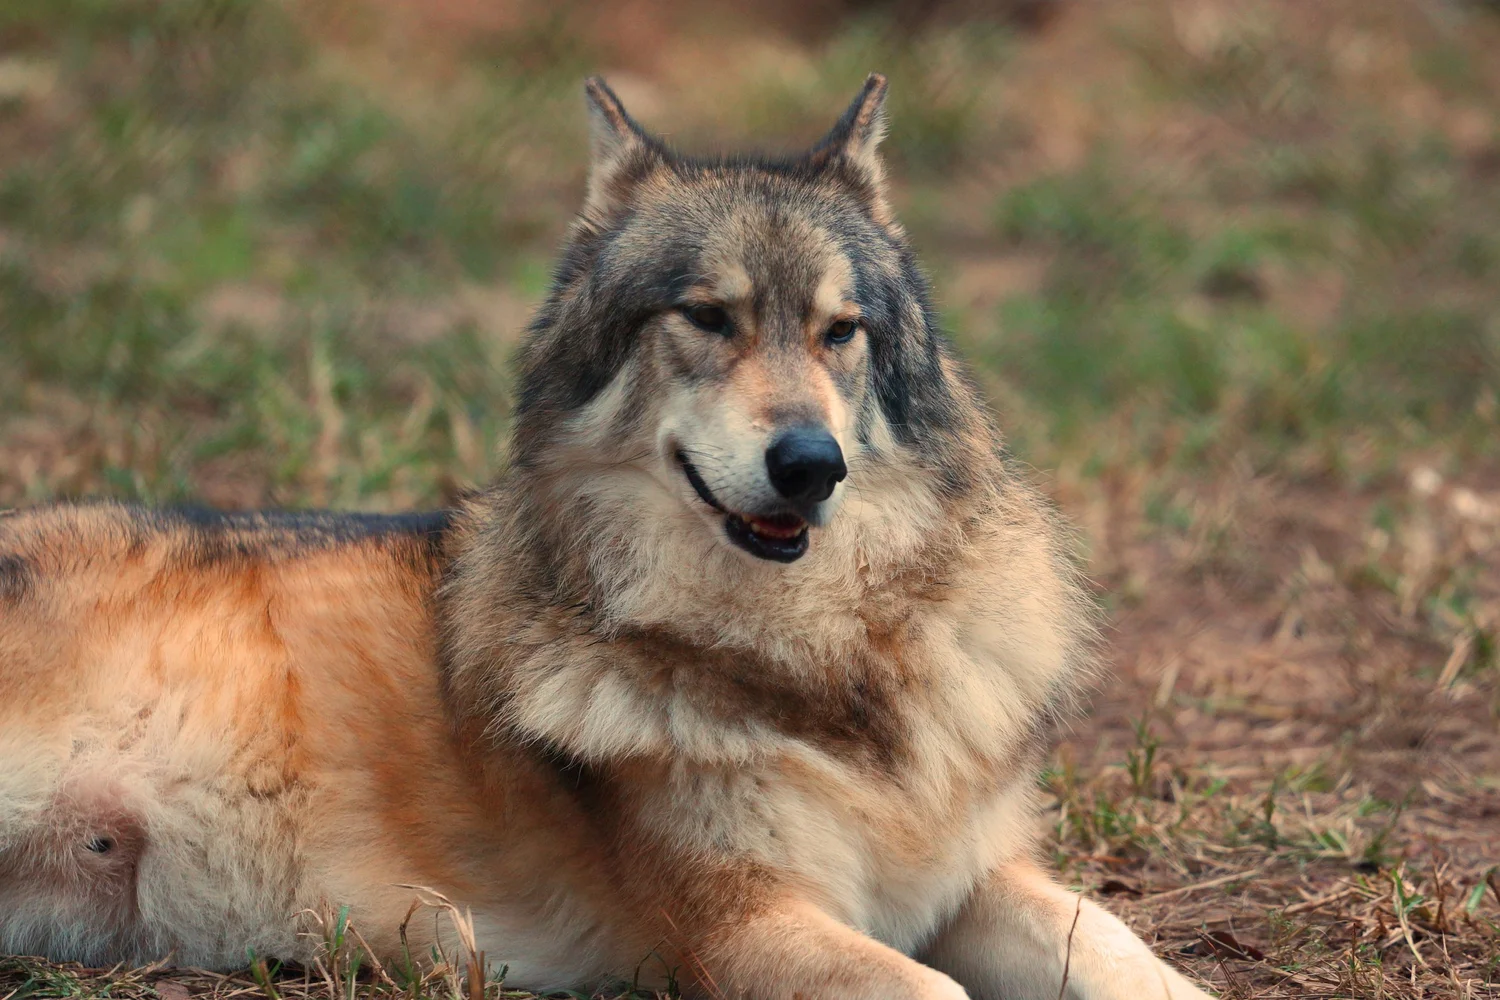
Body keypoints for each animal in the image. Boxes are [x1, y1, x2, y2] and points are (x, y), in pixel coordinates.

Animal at [0, 76, 1212, 999]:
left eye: (841, 332)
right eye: (707, 317)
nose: (810, 464)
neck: (826, 659)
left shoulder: (972, 880)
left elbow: (1127, 953)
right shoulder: (746, 926)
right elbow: (937, 989)